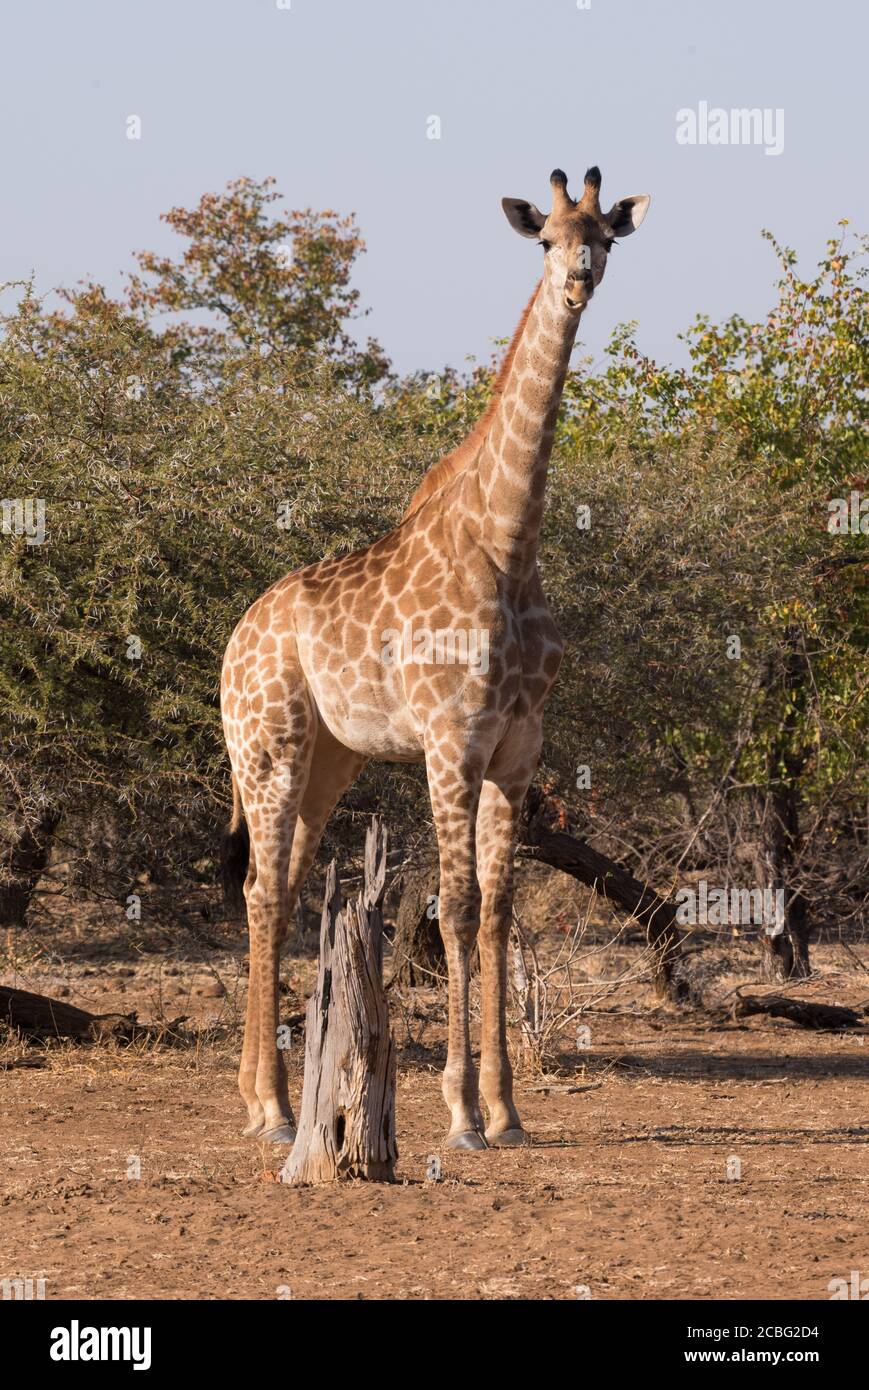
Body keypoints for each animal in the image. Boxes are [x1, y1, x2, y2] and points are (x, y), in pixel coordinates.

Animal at [220, 166, 650, 1148]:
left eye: (605, 237)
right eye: (546, 240)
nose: (578, 281)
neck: (508, 544)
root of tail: (232, 641)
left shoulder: (518, 747)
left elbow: (496, 911)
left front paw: (506, 1109)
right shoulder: (450, 739)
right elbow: (451, 908)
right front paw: (457, 1112)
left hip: (330, 760)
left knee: (282, 884)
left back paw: (263, 1097)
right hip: (266, 747)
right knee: (260, 890)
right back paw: (273, 1108)